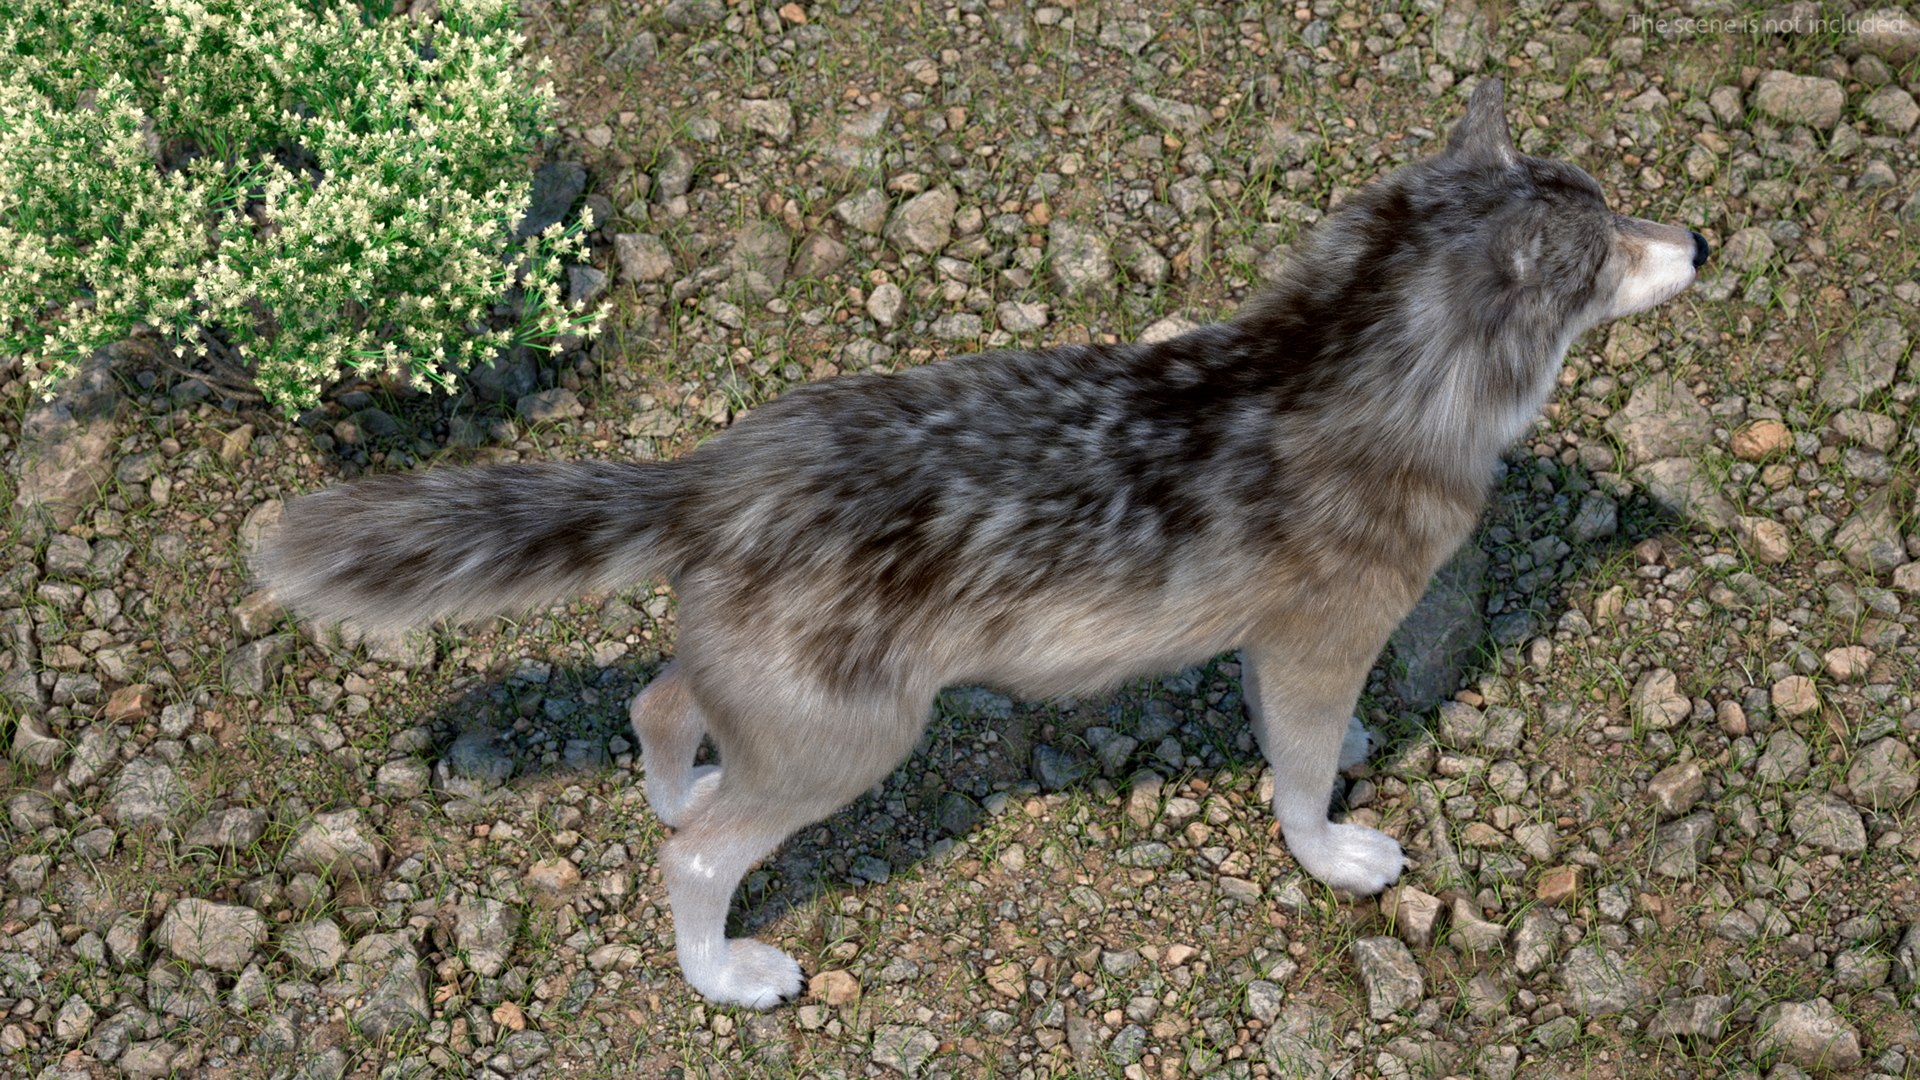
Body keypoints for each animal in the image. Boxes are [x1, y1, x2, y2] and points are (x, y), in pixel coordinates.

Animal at [255, 79, 1707, 1008]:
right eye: (1602, 248)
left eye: (1612, 198)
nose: (1697, 239)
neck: (1340, 366)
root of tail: (720, 475)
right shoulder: (1316, 639)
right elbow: (1295, 778)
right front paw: (1339, 850)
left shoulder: (1266, 644)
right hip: (851, 740)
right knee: (700, 854)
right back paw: (725, 971)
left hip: (767, 692)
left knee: (660, 704)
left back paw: (676, 782)